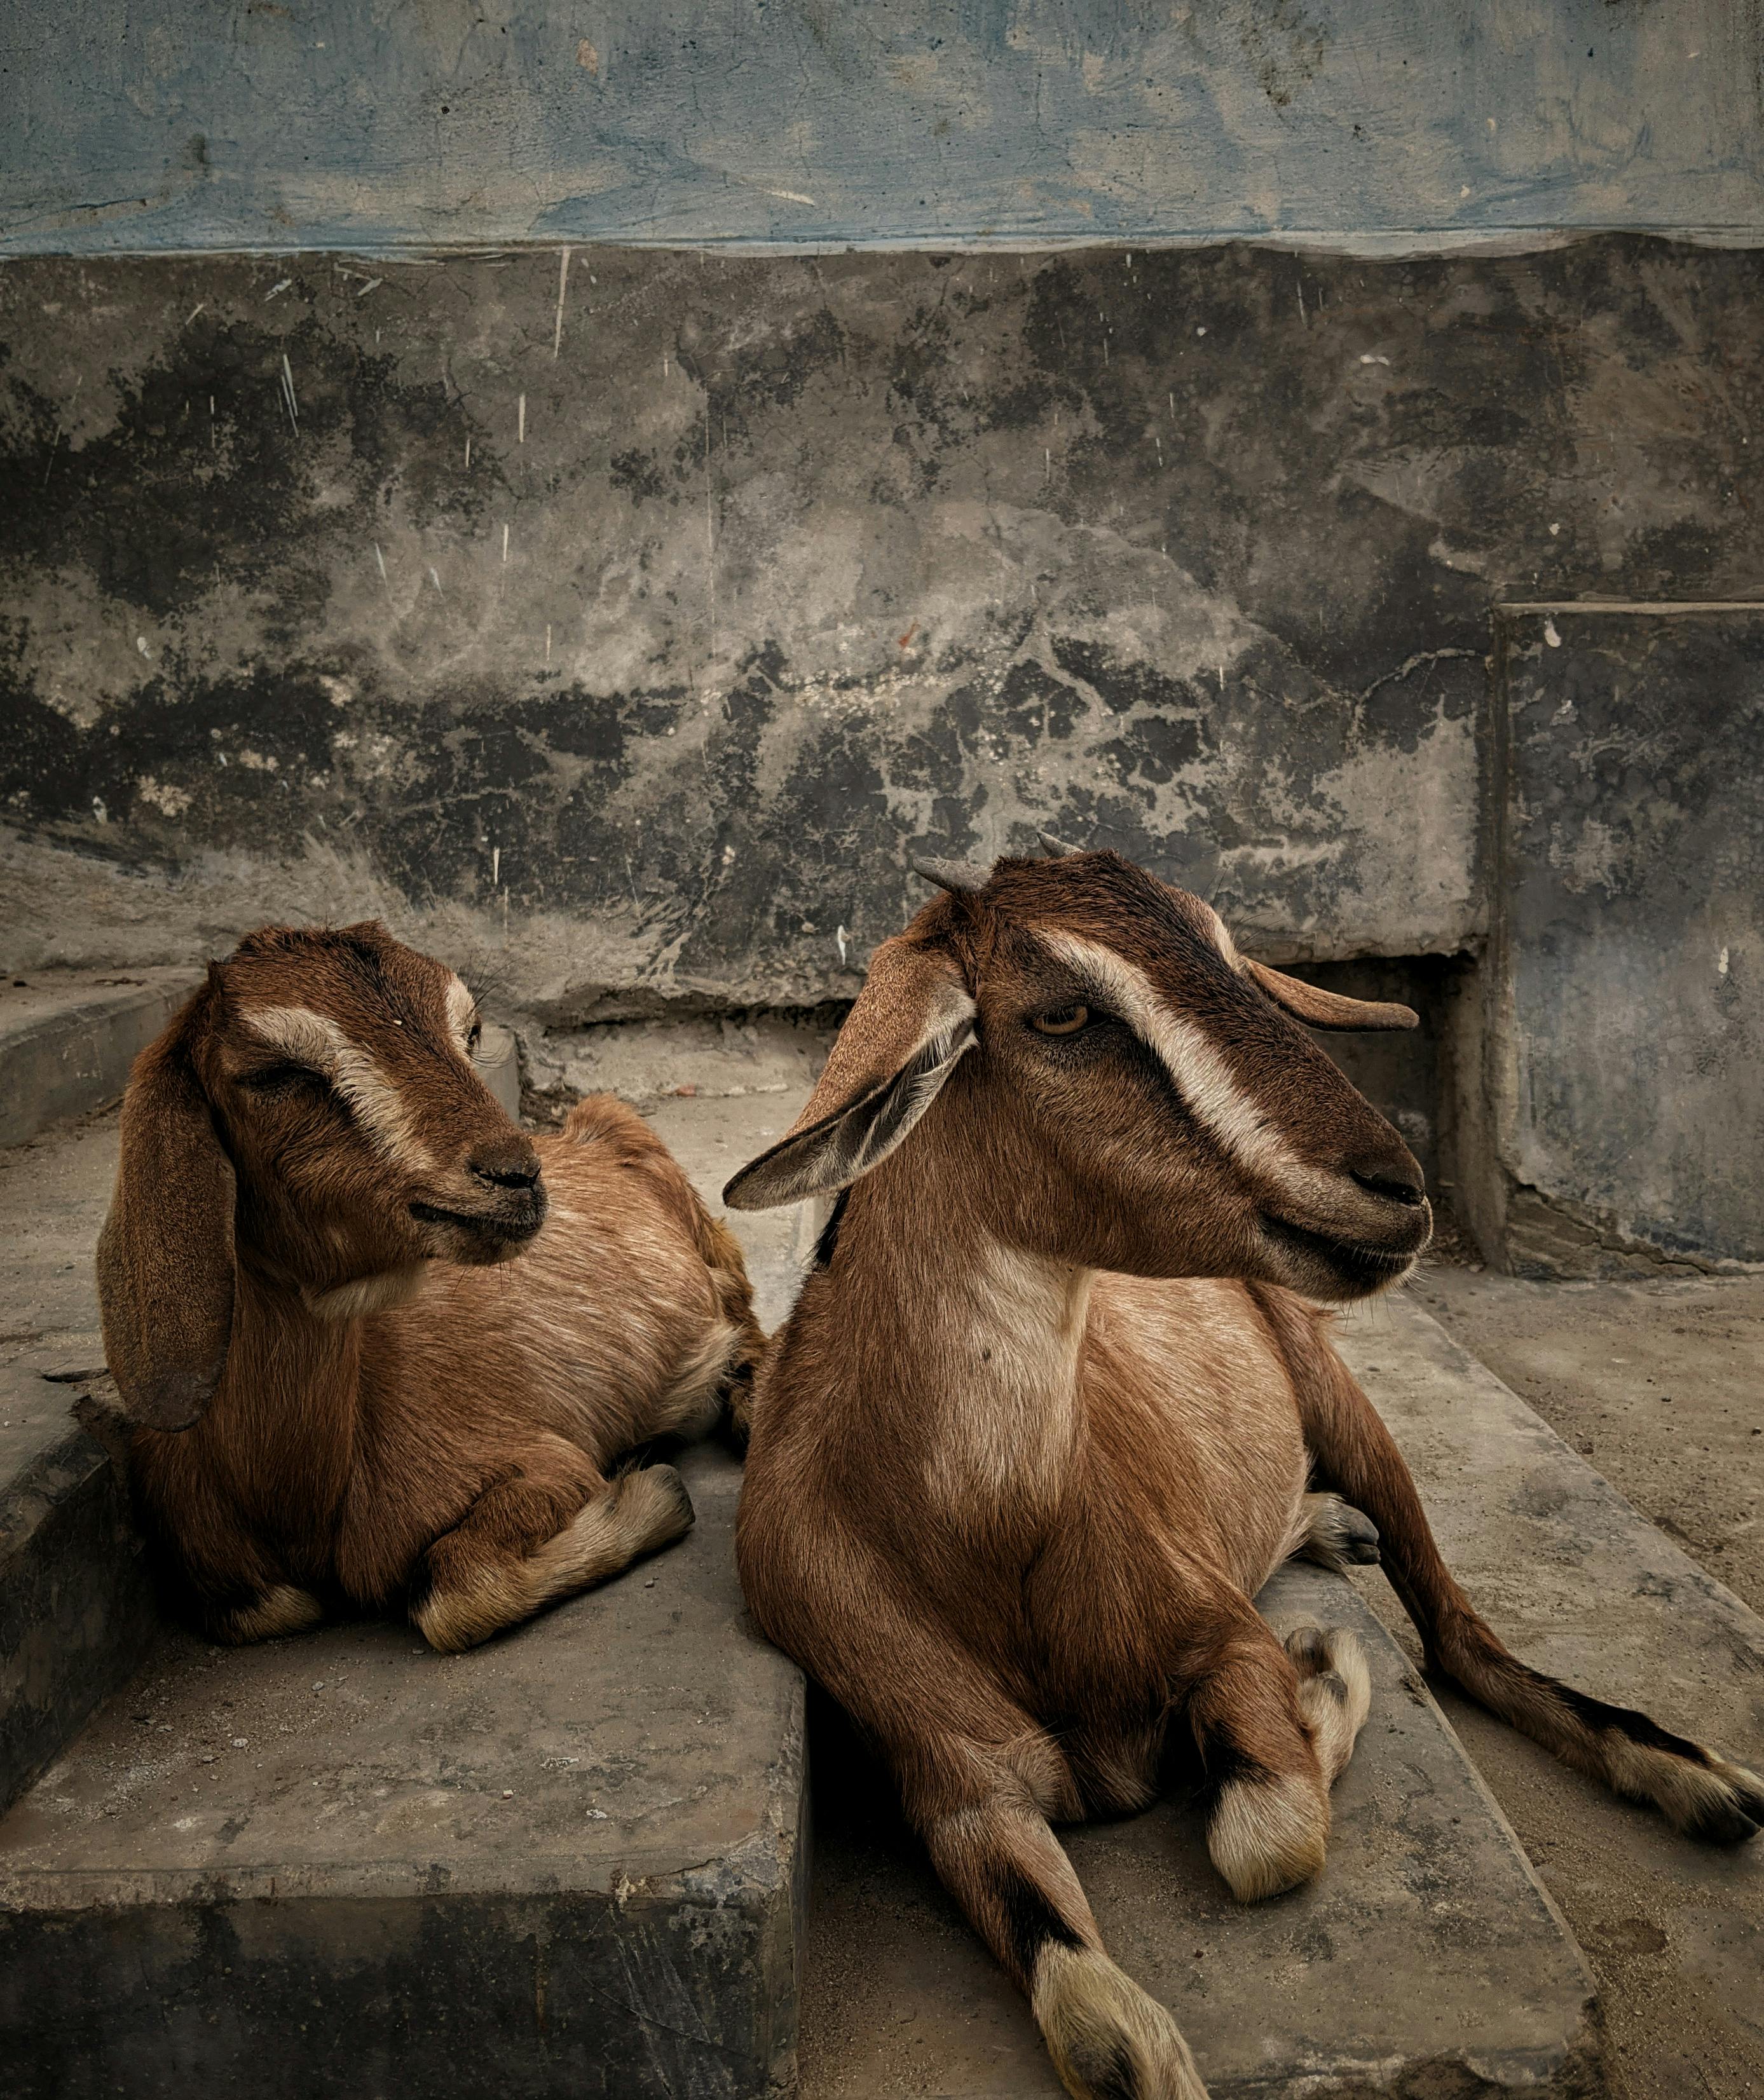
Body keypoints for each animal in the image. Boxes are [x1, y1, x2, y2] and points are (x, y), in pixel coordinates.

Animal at [97, 921, 762, 1653]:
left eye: (470, 1033)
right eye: (275, 1073)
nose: (515, 1175)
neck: (302, 1502)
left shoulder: (545, 1460)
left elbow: (452, 1589)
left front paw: (655, 1497)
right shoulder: (221, 1579)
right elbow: (269, 1606)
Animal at [725, 846, 1764, 2100]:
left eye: (1226, 953)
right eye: (1062, 1013)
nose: (1395, 1187)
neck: (986, 1538)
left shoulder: (1222, 1640)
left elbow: (1266, 1836)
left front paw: (1321, 1676)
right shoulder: (950, 1778)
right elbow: (1103, 2032)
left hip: (1343, 1395)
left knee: (1461, 1637)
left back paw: (1701, 1780)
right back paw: (1326, 1528)